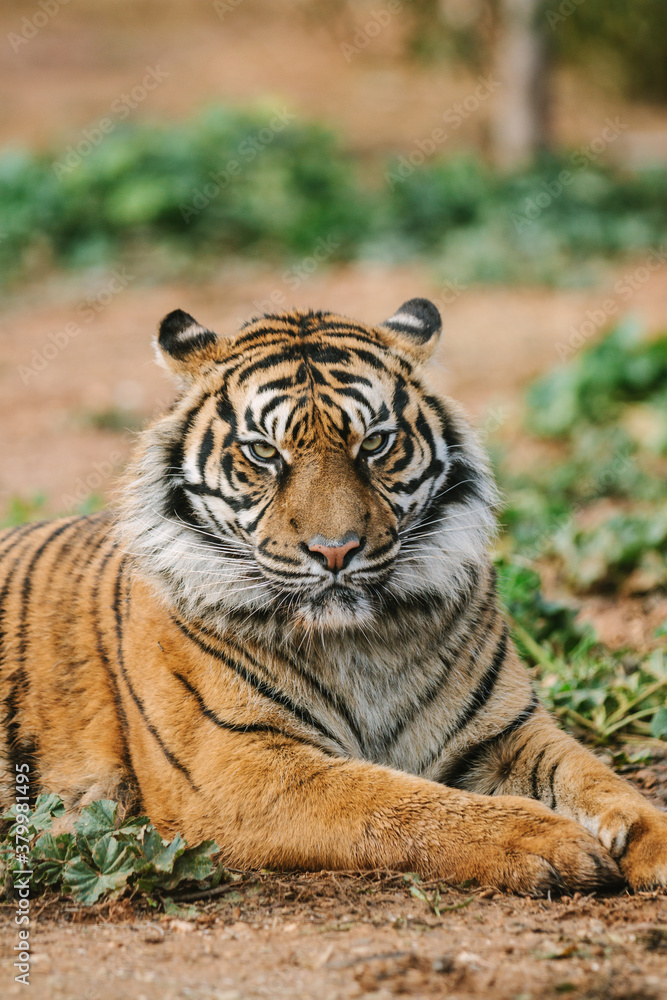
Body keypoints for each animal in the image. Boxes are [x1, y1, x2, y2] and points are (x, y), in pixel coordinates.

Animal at [1, 298, 666, 896]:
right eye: (264, 452)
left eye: (374, 444)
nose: (336, 550)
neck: (364, 641)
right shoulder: (238, 768)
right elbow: (394, 799)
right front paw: (545, 840)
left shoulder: (504, 733)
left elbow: (599, 780)